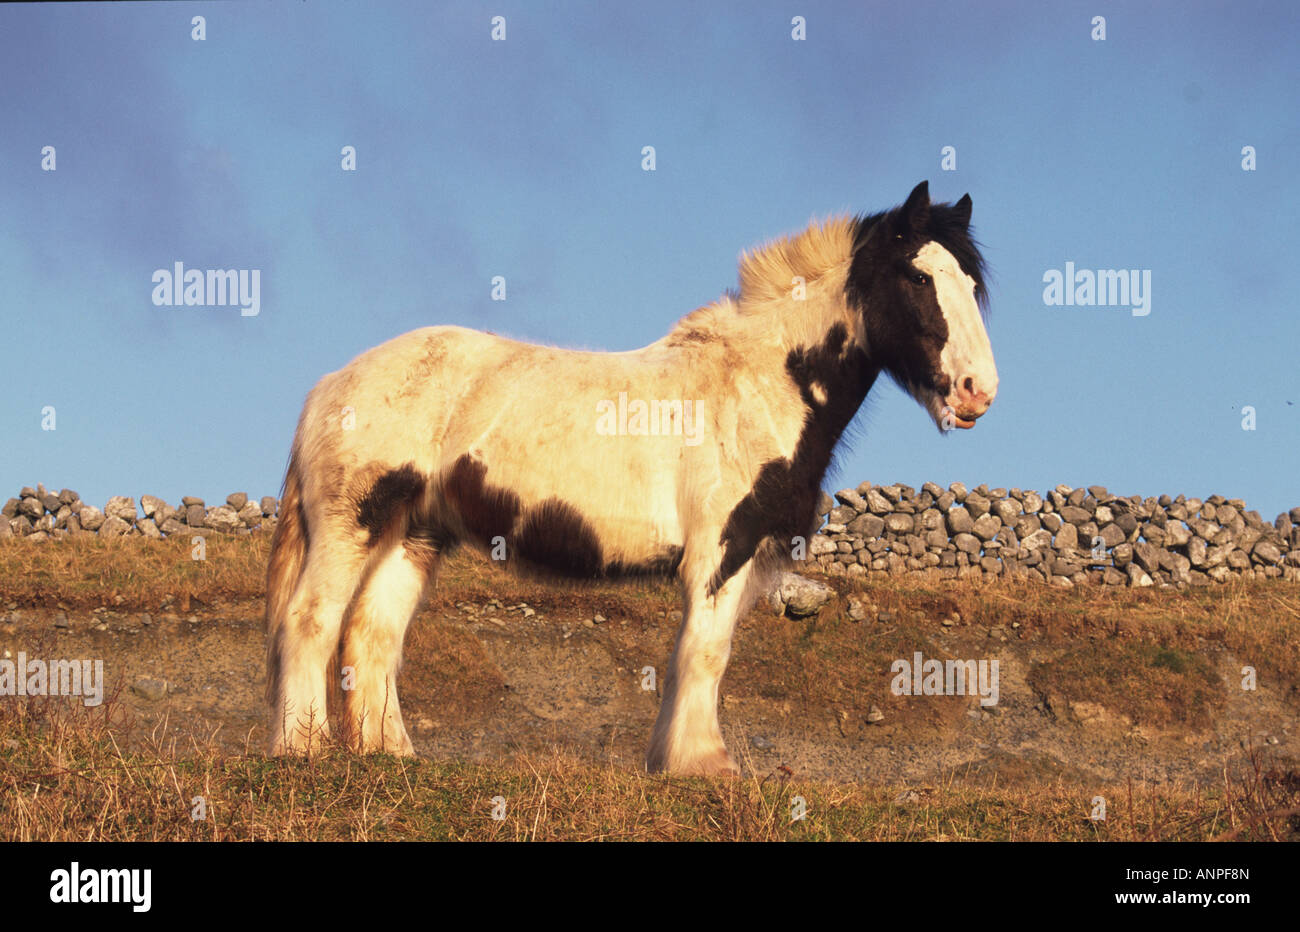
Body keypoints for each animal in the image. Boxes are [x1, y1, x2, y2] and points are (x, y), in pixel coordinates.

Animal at [264, 180, 997, 775]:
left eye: (971, 284)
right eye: (916, 278)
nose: (977, 393)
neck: (759, 385)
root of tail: (331, 385)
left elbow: (694, 656)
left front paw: (673, 762)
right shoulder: (720, 552)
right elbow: (706, 655)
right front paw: (705, 766)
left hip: (412, 534)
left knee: (372, 634)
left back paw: (390, 755)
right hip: (351, 523)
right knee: (312, 619)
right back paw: (301, 749)